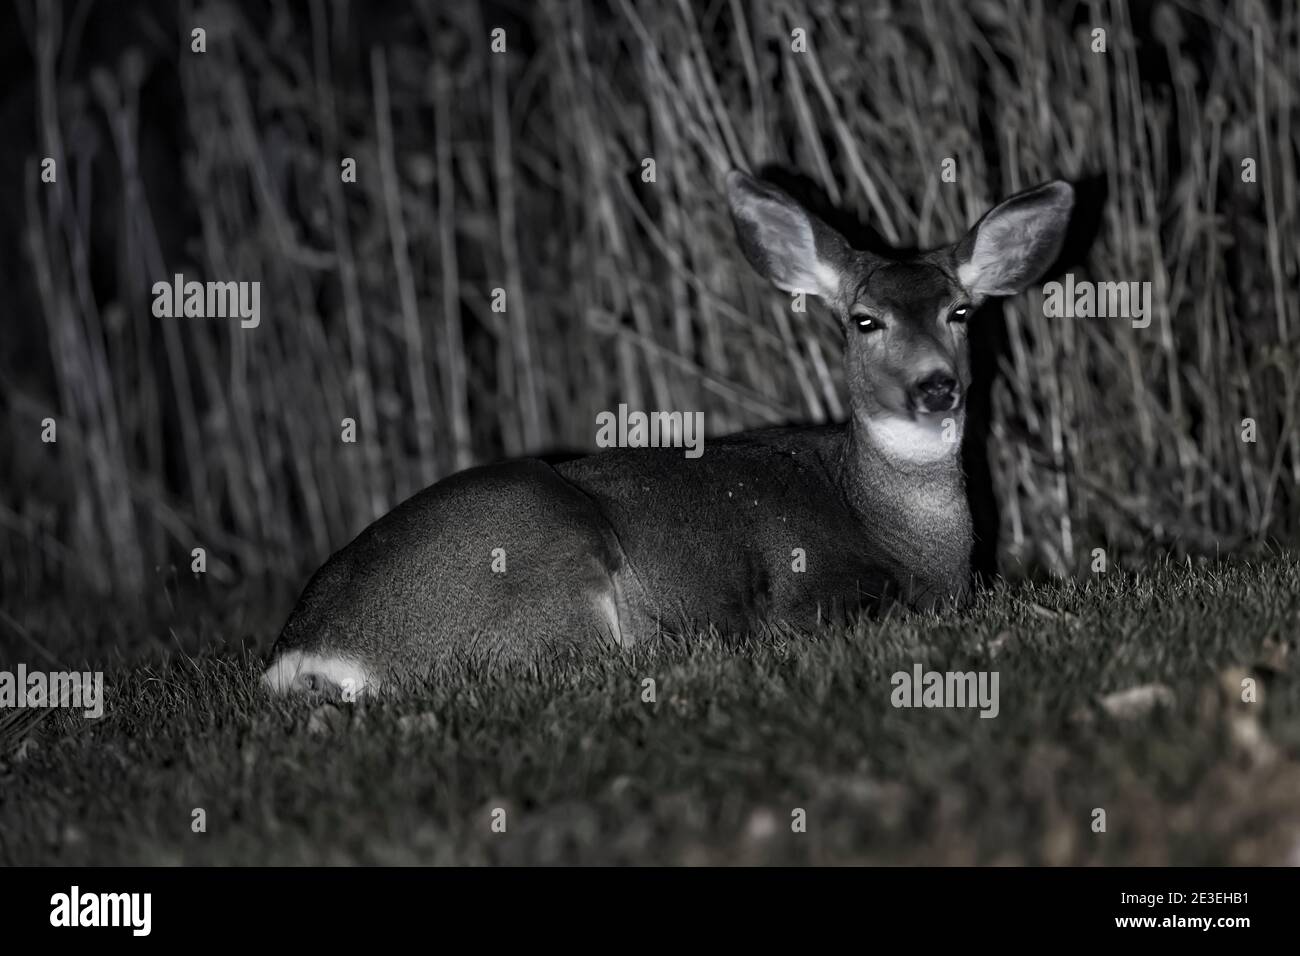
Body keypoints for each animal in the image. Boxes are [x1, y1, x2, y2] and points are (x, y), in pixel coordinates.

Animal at [262, 170, 1073, 697]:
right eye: (864, 320)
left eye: (960, 312)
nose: (936, 386)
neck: (891, 522)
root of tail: (308, 653)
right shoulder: (806, 590)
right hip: (544, 546)